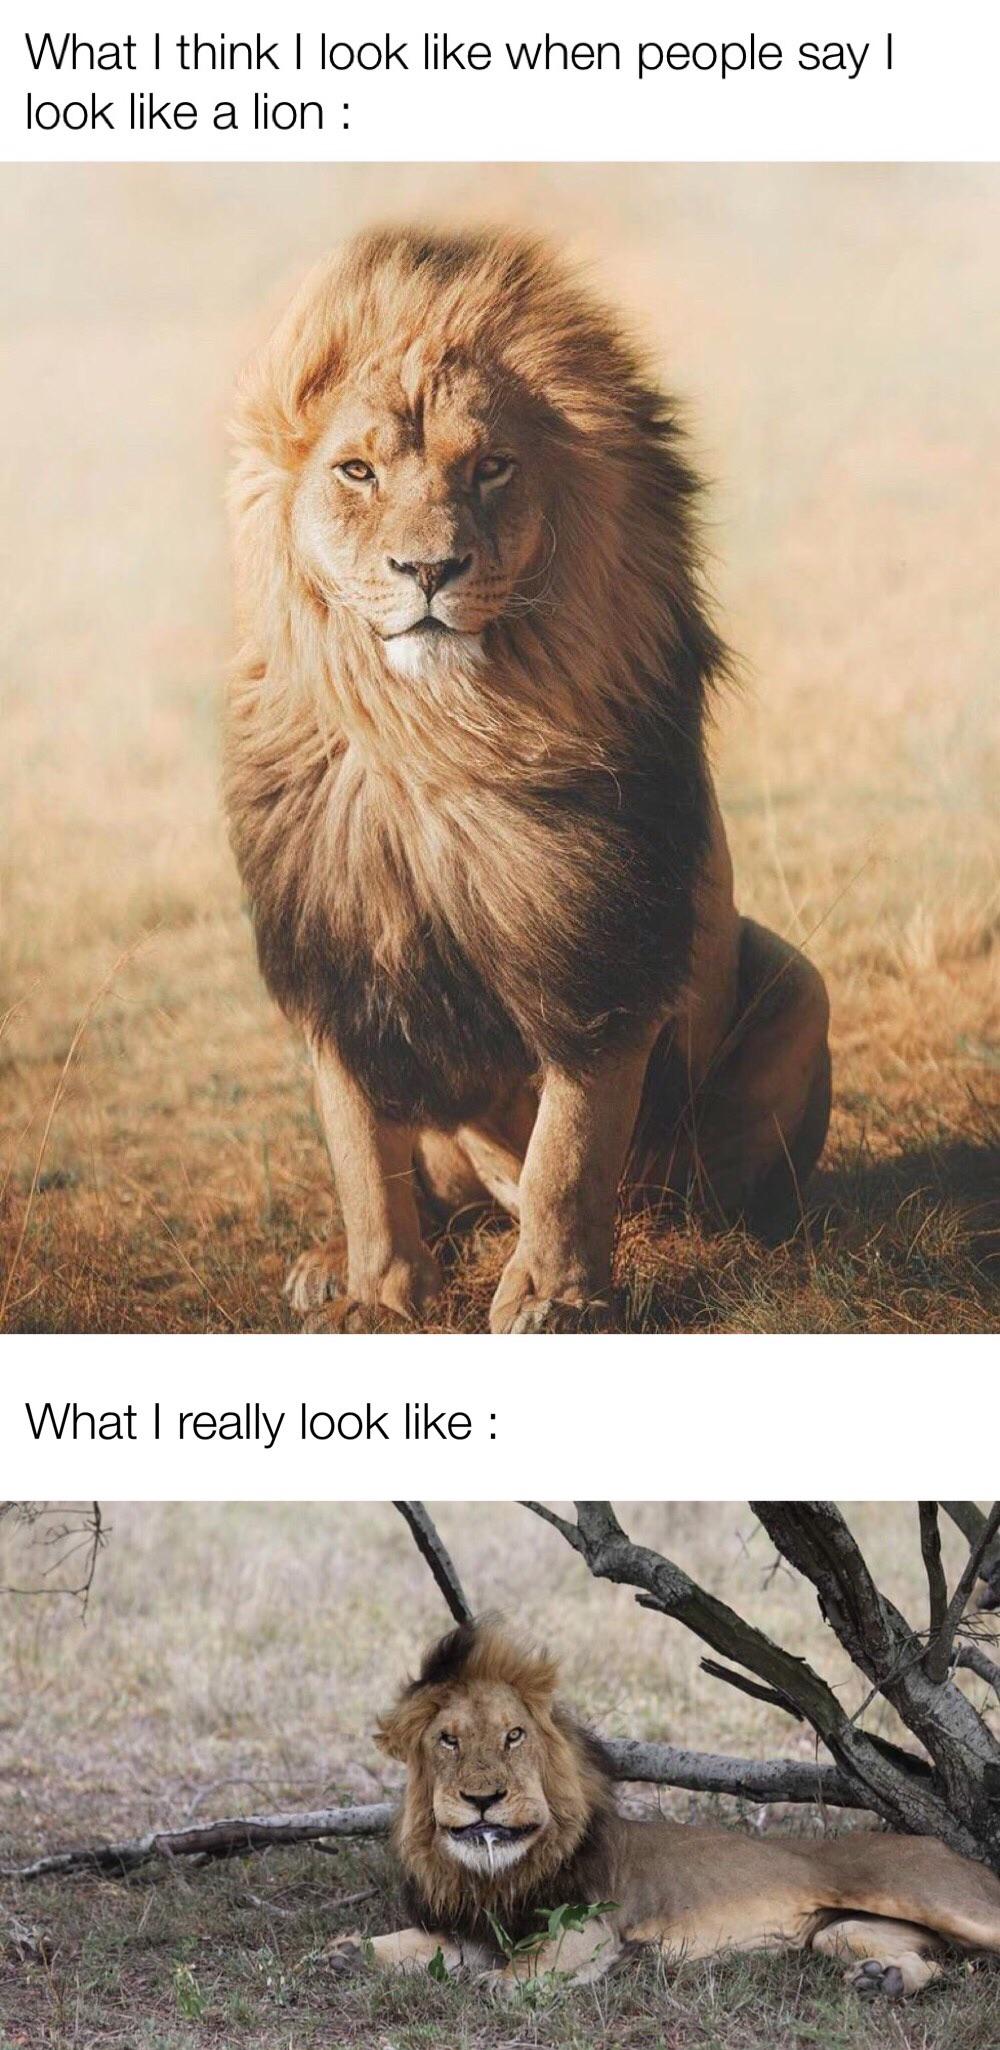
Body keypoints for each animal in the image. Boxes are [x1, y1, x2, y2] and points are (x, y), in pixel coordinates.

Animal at [224, 226, 832, 1332]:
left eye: (493, 468)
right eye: (356, 471)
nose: (429, 570)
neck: (438, 731)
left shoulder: (601, 951)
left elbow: (568, 1155)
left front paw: (553, 1300)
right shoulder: (335, 948)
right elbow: (362, 1157)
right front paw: (376, 1296)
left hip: (798, 982)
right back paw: (327, 1261)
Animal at [367, 1620, 1000, 2000]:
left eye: (514, 1736)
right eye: (448, 1740)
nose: (481, 1799)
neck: (492, 1875)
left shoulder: (591, 1925)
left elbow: (533, 1961)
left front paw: (502, 1983)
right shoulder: (470, 1923)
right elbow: (425, 1944)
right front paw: (355, 1954)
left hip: (931, 1895)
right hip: (840, 1932)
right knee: (935, 1963)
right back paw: (883, 1979)